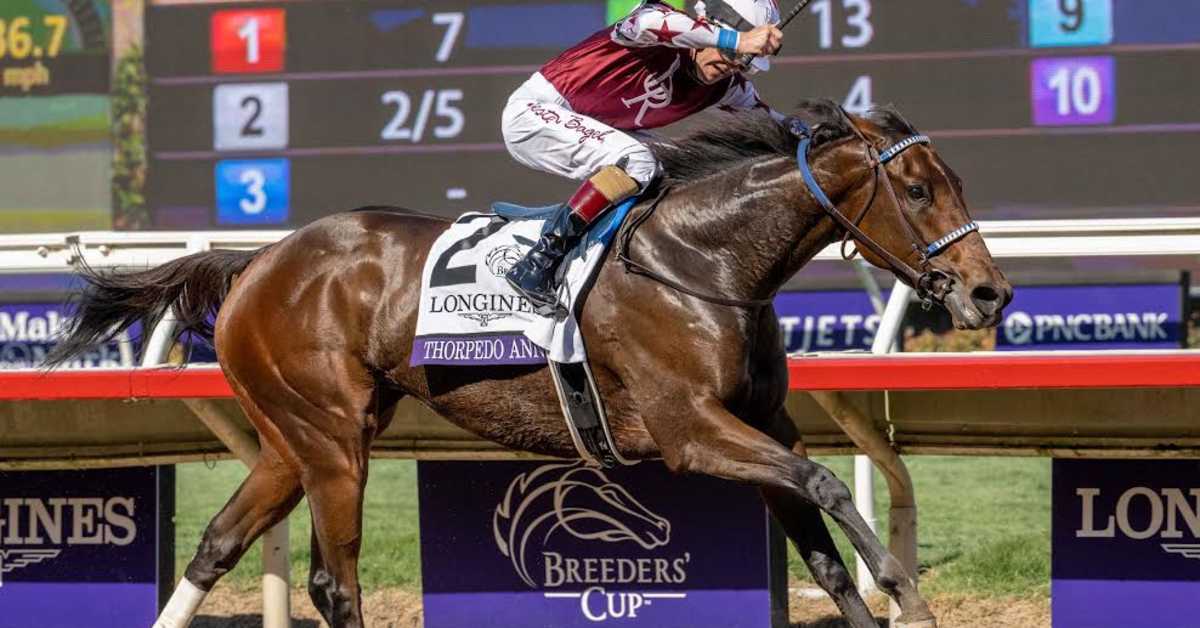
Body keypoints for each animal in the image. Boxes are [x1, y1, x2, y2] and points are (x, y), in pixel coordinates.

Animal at [49, 100, 1011, 628]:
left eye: (959, 181)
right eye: (918, 189)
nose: (989, 293)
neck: (706, 262)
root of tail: (258, 263)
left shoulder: (760, 423)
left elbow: (820, 546)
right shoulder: (691, 432)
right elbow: (828, 486)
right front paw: (908, 591)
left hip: (295, 439)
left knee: (217, 544)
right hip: (331, 441)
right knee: (335, 581)